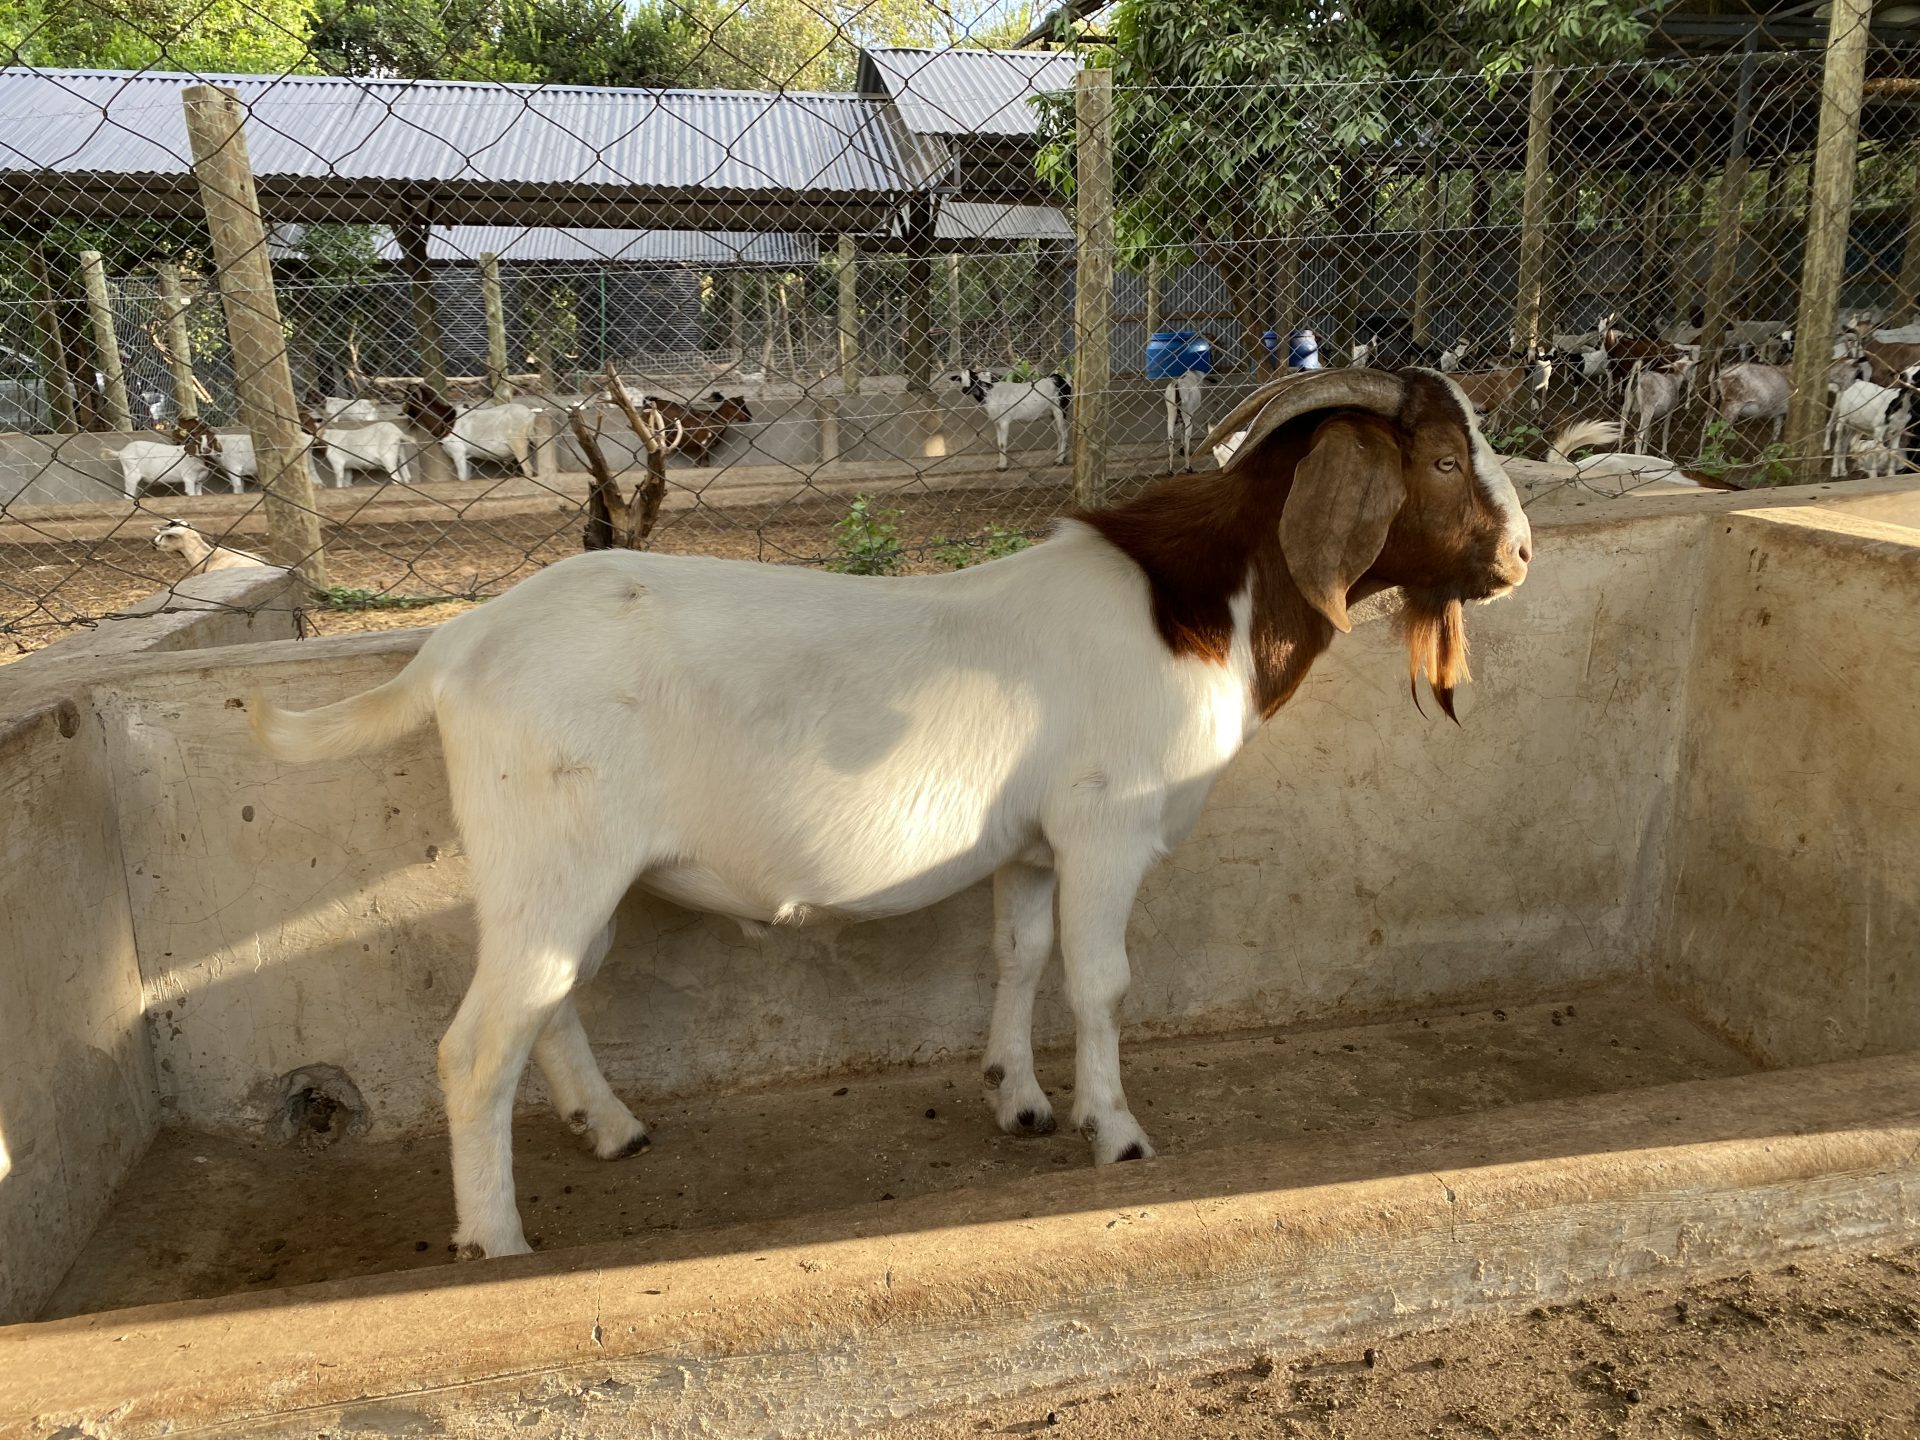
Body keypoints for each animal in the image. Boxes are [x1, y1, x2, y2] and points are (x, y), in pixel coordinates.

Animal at [250, 367, 1532, 1261]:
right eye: (1443, 459)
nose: (1520, 556)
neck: (1201, 605)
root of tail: (455, 646)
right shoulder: (1107, 831)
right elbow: (1101, 981)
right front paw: (1115, 1131)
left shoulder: (1034, 846)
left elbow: (1019, 956)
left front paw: (1019, 1098)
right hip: (549, 862)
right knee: (475, 1048)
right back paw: (500, 1240)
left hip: (573, 879)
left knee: (550, 1004)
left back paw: (612, 1128)